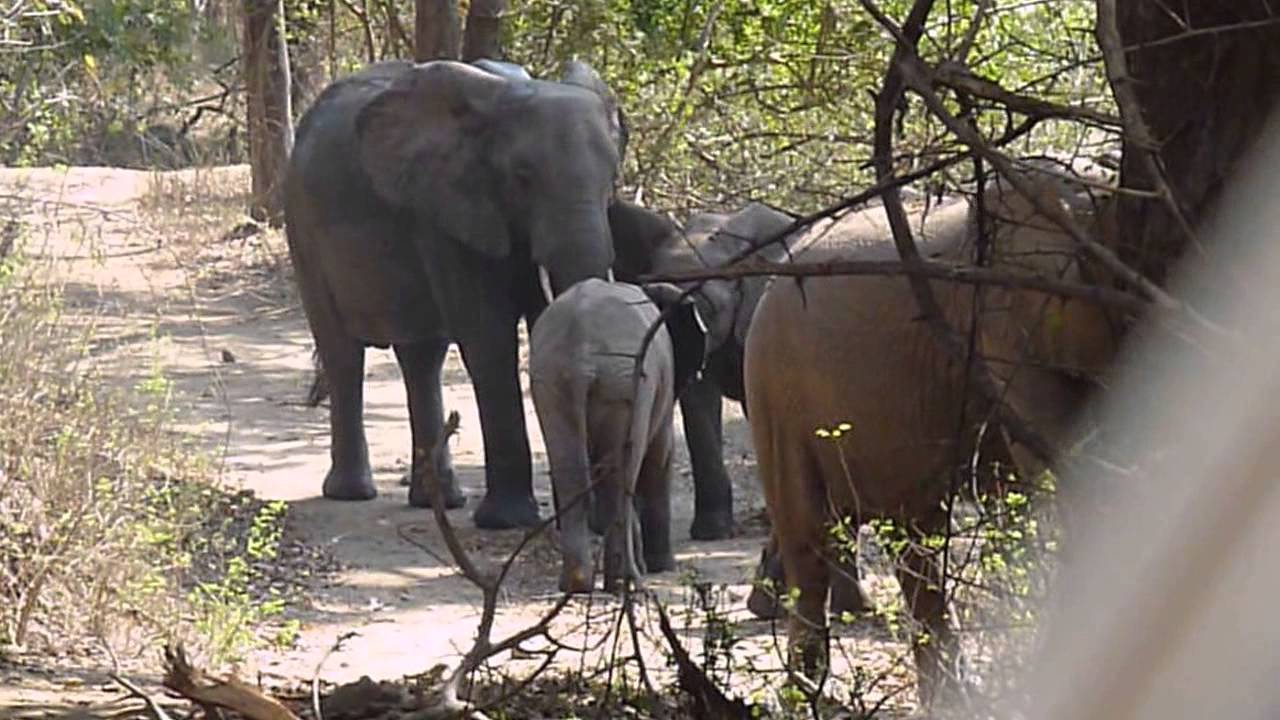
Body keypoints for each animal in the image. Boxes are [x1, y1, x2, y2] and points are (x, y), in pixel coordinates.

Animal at [284, 58, 626, 529]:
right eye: (522, 177)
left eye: (612, 178)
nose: (595, 522)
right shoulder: (445, 214)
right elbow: (488, 338)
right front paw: (509, 521)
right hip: (302, 229)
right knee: (343, 354)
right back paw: (351, 493)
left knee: (421, 358)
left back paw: (439, 502)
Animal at [528, 279, 706, 592]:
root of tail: (581, 349)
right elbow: (661, 455)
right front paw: (662, 566)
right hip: (624, 382)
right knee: (623, 473)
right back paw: (626, 581)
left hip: (551, 381)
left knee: (571, 472)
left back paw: (576, 584)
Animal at [742, 178, 1120, 703]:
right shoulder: (1003, 318)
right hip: (774, 388)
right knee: (809, 538)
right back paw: (809, 700)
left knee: (916, 536)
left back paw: (952, 699)